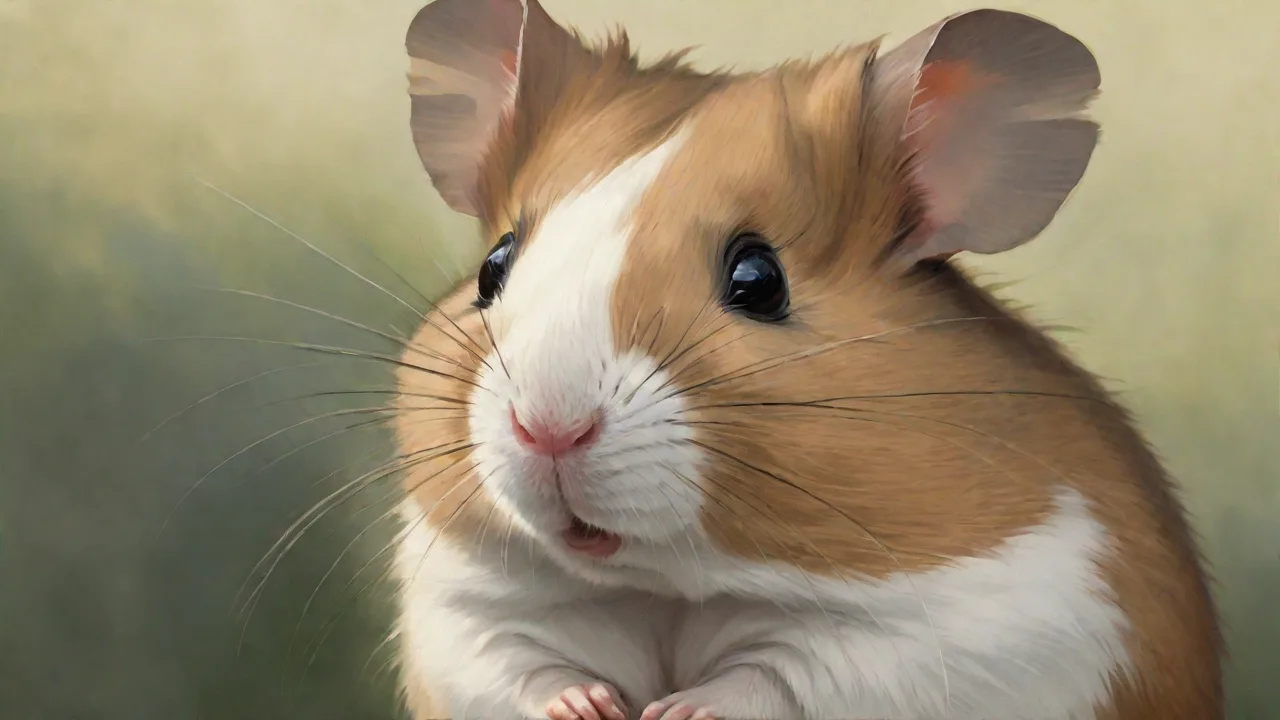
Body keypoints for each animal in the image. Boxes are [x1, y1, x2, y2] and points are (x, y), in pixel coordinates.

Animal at [390, 1, 1224, 718]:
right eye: (495, 267)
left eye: (759, 281)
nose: (547, 429)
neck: (667, 587)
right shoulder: (459, 613)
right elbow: (520, 666)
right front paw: (593, 705)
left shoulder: (975, 637)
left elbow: (781, 677)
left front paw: (676, 709)